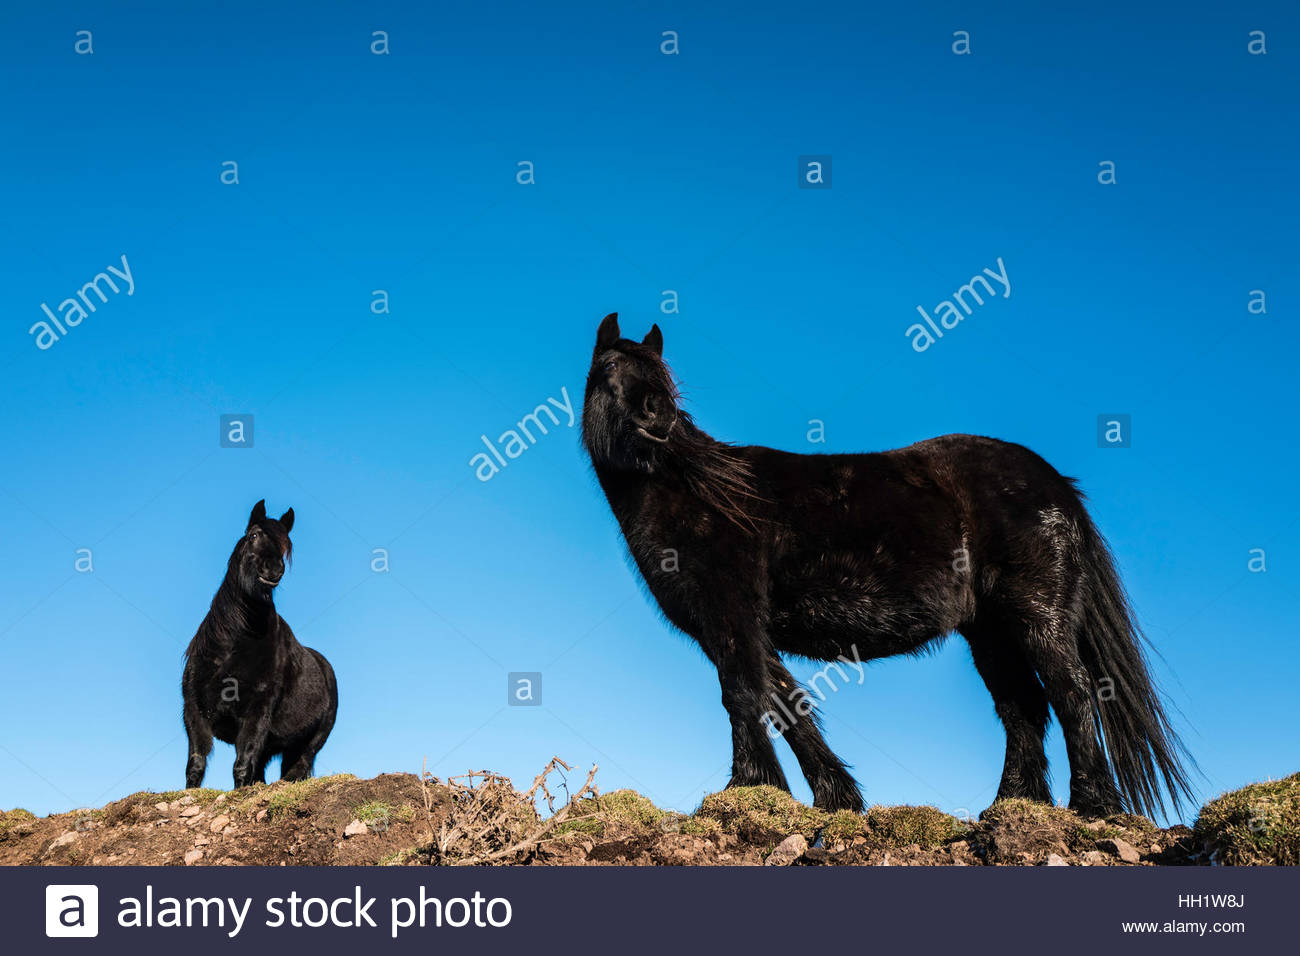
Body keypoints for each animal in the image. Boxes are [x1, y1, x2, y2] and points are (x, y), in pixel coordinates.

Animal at [182, 500, 338, 789]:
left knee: (295, 770)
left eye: (286, 545)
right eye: (253, 535)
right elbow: (196, 764)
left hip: (307, 744)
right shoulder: (194, 710)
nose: (273, 570)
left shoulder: (256, 713)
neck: (229, 647)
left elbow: (242, 766)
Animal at [580, 313, 1193, 818]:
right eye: (609, 366)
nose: (658, 416)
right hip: (991, 632)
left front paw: (746, 789)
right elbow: (784, 701)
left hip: (1037, 618)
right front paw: (833, 797)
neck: (698, 490)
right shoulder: (734, 629)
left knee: (1073, 694)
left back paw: (1092, 805)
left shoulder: (730, 615)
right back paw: (1012, 806)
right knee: (1023, 708)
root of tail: (1056, 486)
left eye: (662, 372)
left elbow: (742, 695)